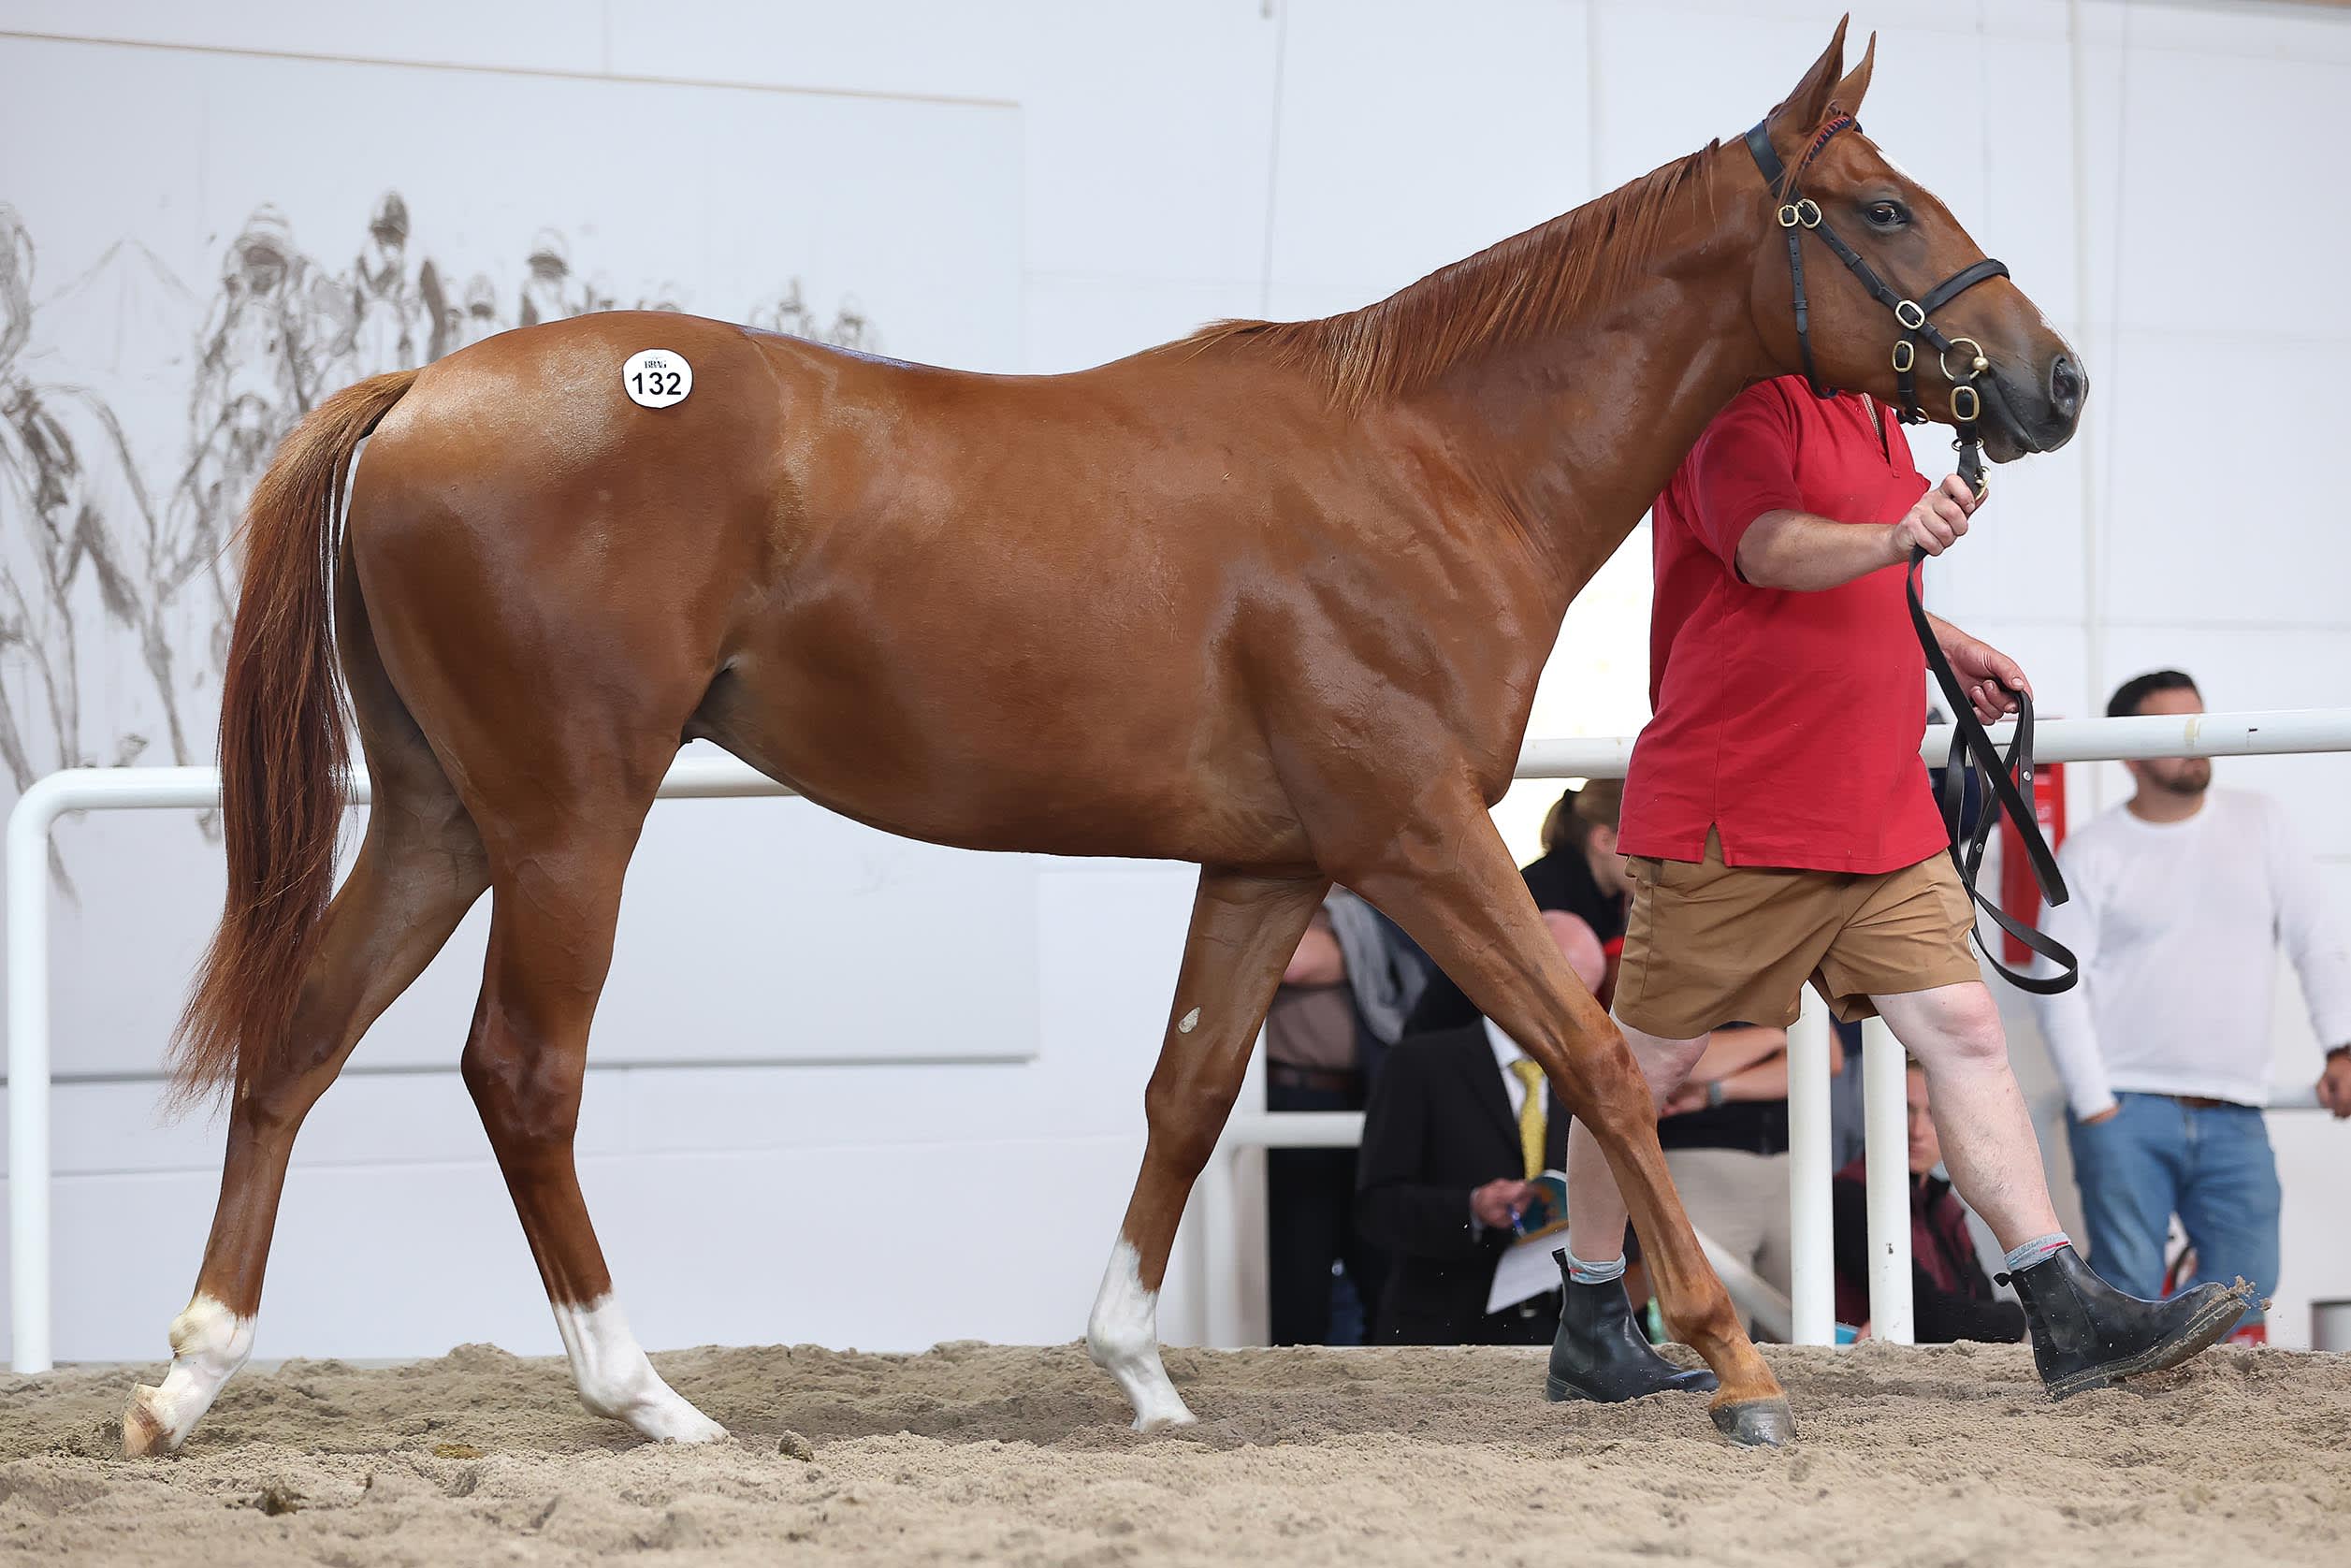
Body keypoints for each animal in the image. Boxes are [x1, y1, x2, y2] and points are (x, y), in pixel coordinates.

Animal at [123, 19, 2082, 1457]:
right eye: (1882, 212)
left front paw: (1135, 1369)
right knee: (520, 1075)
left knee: (298, 1044)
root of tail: (417, 397)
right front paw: (1734, 1368)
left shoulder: (1268, 862)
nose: (2052, 382)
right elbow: (1594, 1059)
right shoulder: (1416, 838)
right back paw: (646, 1399)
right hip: (565, 823)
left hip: (442, 816)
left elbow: (1188, 1092)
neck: (1425, 459)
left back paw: (187, 1380)